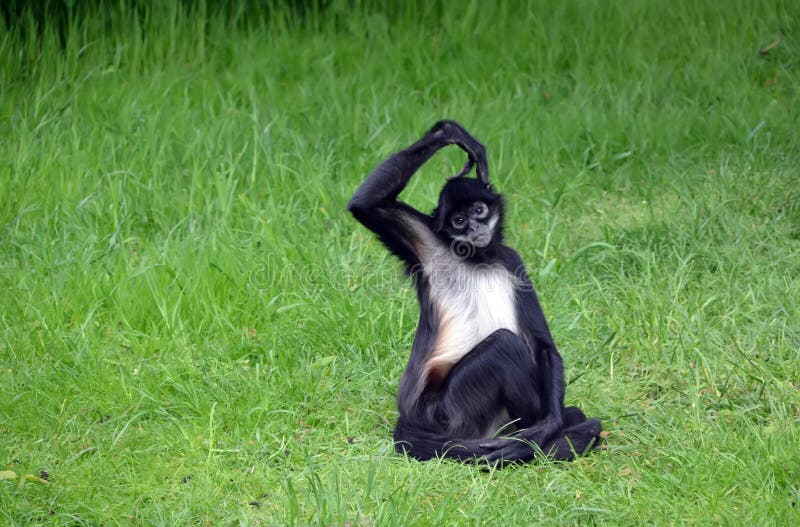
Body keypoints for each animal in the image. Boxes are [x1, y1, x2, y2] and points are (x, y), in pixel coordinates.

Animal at [347, 120, 601, 466]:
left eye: (478, 211)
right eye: (458, 221)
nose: (473, 229)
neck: (477, 258)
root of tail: (412, 420)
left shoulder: (511, 261)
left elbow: (543, 345)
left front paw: (547, 427)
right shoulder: (428, 242)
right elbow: (366, 203)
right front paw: (452, 134)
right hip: (453, 411)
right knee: (505, 344)